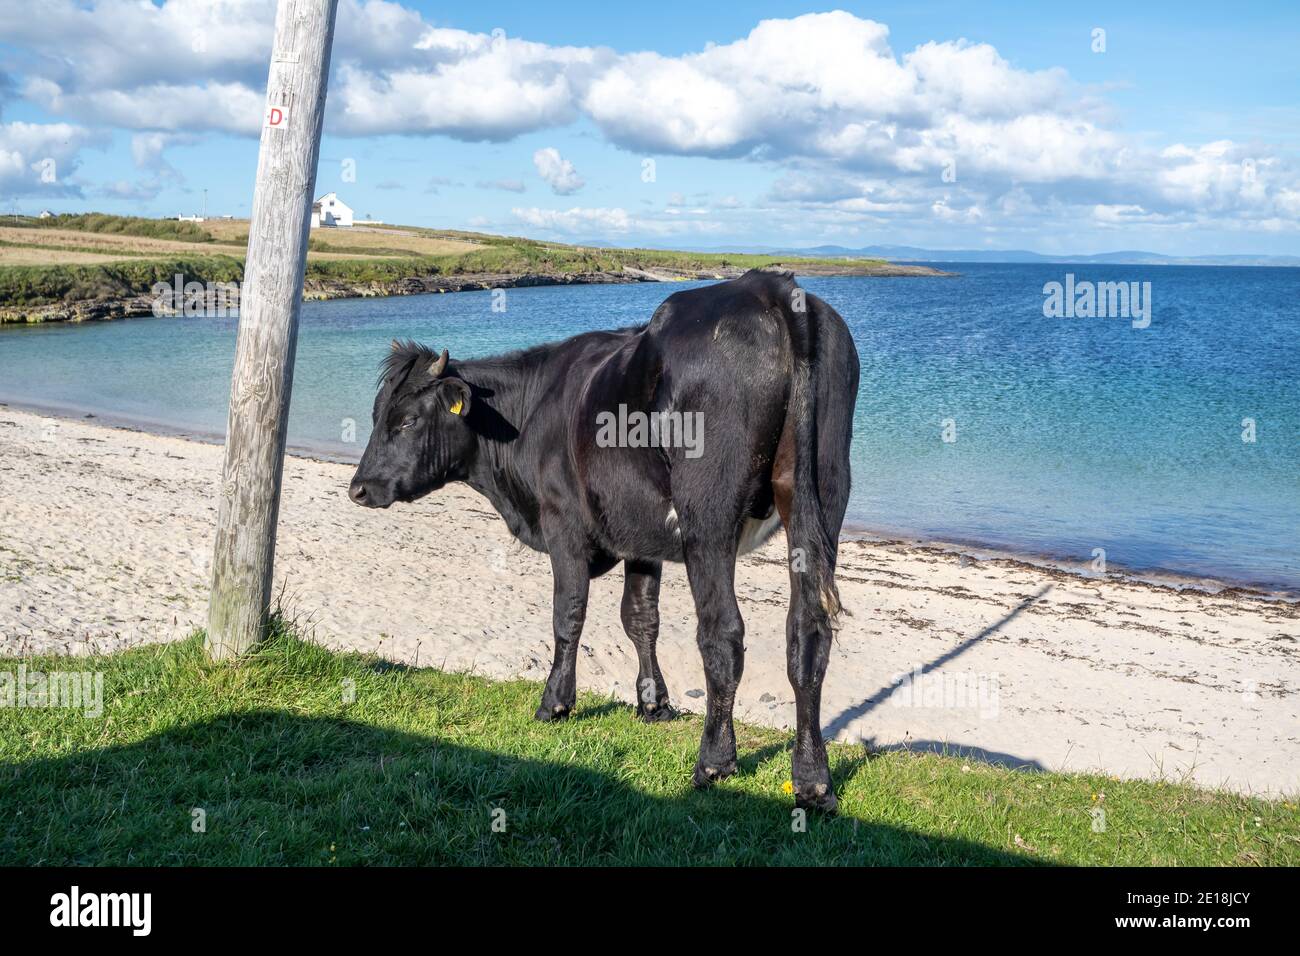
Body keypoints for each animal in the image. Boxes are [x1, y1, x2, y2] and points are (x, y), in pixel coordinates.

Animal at [348, 269, 859, 811]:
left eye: (406, 421)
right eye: (378, 415)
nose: (358, 488)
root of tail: (767, 286)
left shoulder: (563, 524)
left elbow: (568, 615)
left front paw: (555, 703)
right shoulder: (640, 536)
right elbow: (640, 619)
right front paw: (653, 703)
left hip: (708, 514)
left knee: (722, 633)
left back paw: (714, 762)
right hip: (823, 494)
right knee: (807, 632)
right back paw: (813, 781)